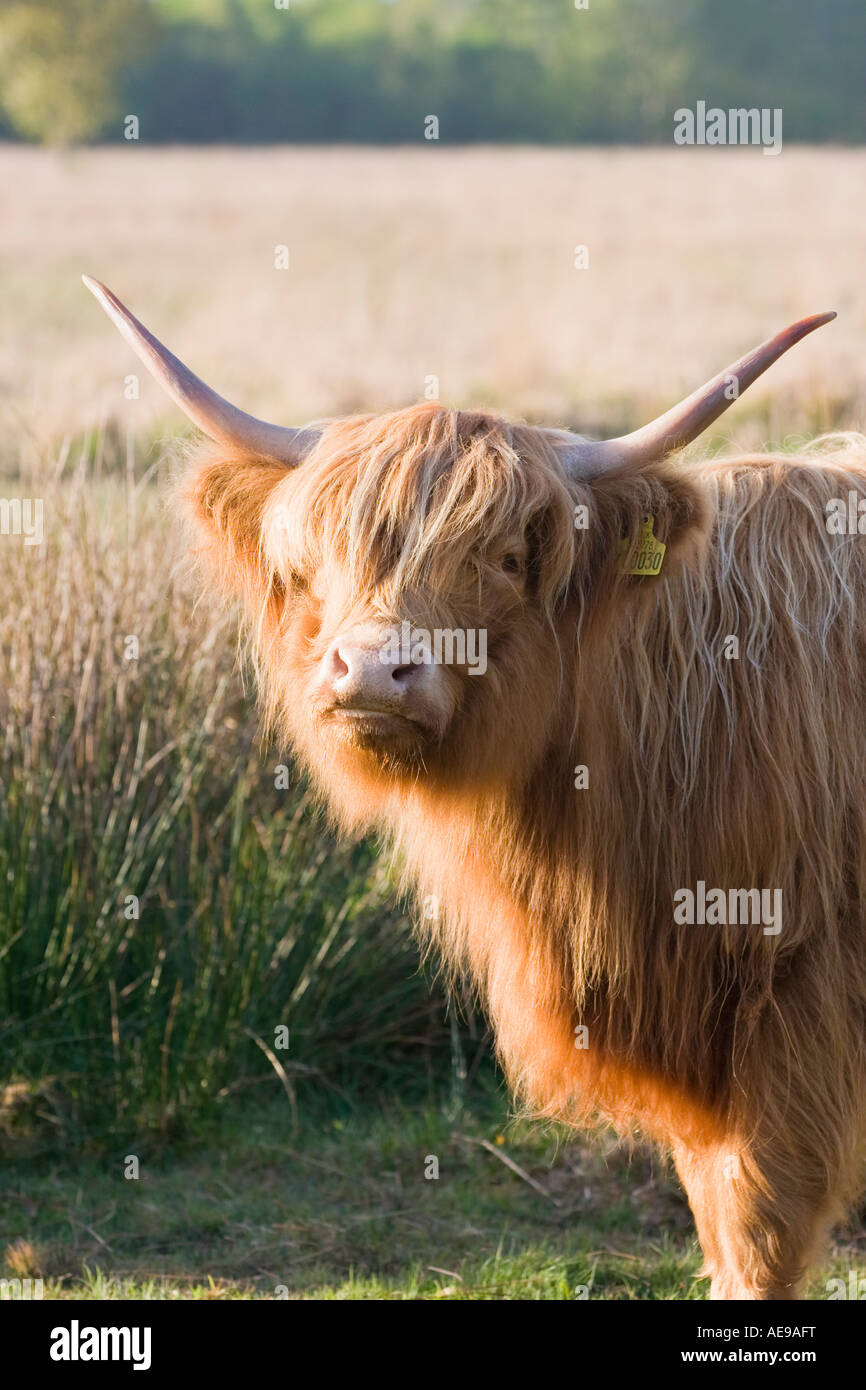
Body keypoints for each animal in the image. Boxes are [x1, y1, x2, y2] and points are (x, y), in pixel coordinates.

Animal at [85, 275, 866, 1300]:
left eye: (502, 559)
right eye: (321, 558)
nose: (374, 672)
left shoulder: (799, 997)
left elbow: (761, 1221)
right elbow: (723, 1205)